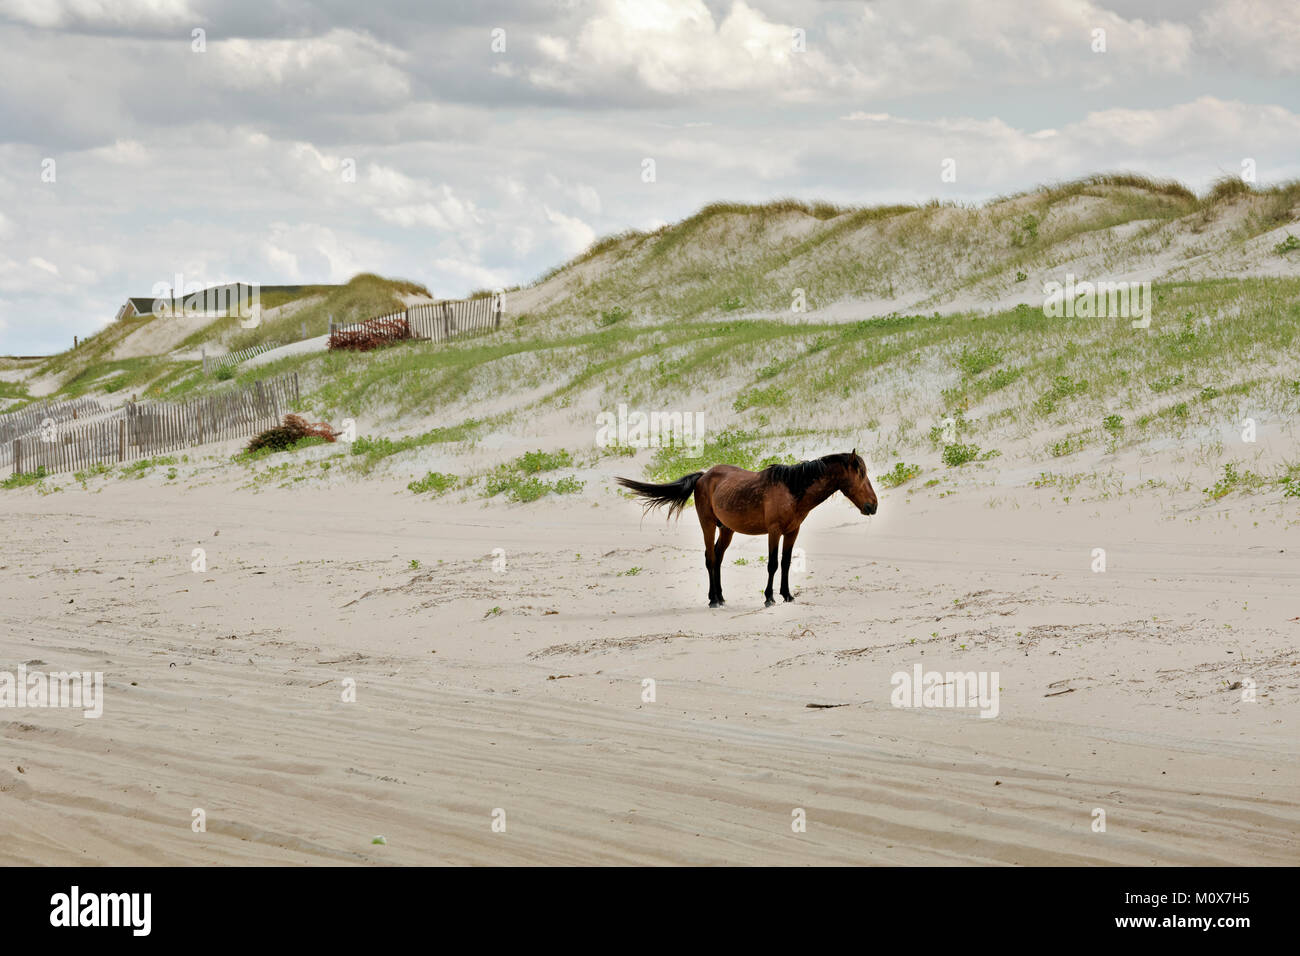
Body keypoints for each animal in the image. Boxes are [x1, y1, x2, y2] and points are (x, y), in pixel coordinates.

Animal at [617, 451, 877, 608]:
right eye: (861, 474)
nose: (873, 506)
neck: (792, 489)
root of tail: (703, 477)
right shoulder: (774, 531)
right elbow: (772, 564)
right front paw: (769, 597)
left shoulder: (792, 531)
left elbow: (786, 563)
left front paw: (787, 595)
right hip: (707, 524)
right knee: (710, 558)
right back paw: (713, 600)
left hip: (727, 530)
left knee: (718, 558)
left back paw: (721, 597)